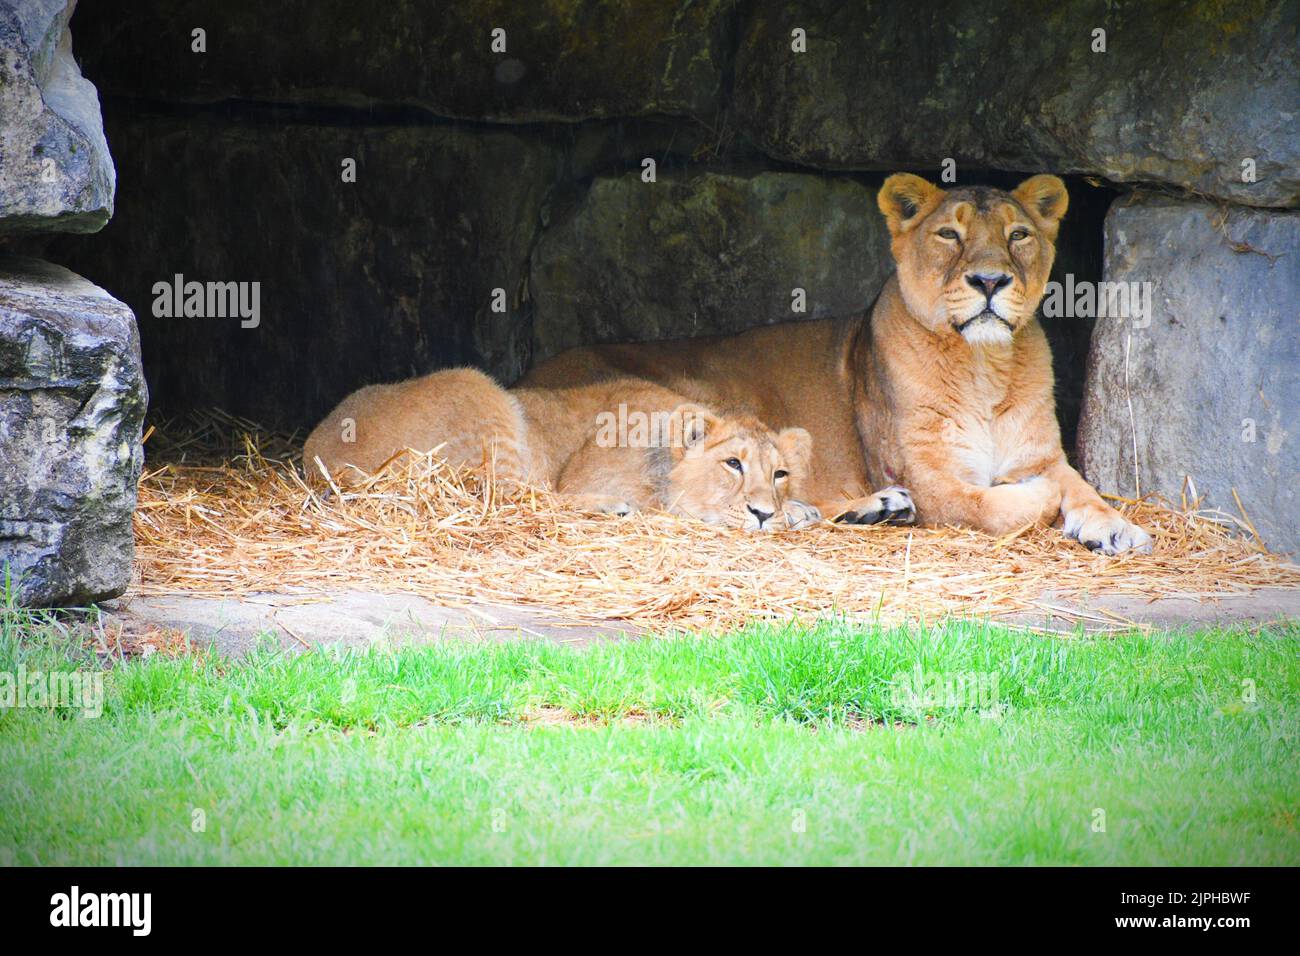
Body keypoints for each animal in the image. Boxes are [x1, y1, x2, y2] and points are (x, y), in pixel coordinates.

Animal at [302, 368, 826, 532]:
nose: (762, 513)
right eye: (732, 464)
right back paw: (615, 508)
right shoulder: (583, 475)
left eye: (779, 474)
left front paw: (798, 509)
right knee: (515, 498)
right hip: (479, 388)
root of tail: (314, 449)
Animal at [520, 174, 1150, 555]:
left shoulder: (1041, 454)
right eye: (949, 234)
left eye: (1018, 234)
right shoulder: (925, 474)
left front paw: (1117, 527)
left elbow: (1083, 488)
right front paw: (1040, 503)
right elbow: (989, 507)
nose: (991, 280)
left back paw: (874, 510)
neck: (984, 368)